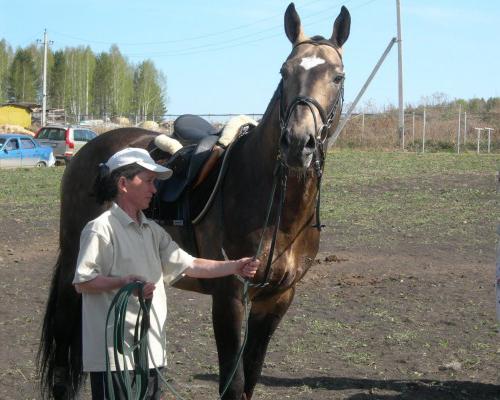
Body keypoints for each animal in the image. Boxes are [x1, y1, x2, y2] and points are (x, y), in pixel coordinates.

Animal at [37, 3, 350, 400]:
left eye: (337, 77)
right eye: (284, 71)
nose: (297, 143)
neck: (275, 205)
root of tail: (90, 150)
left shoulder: (276, 300)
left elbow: (251, 376)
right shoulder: (230, 298)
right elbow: (233, 383)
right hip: (73, 268)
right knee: (67, 357)